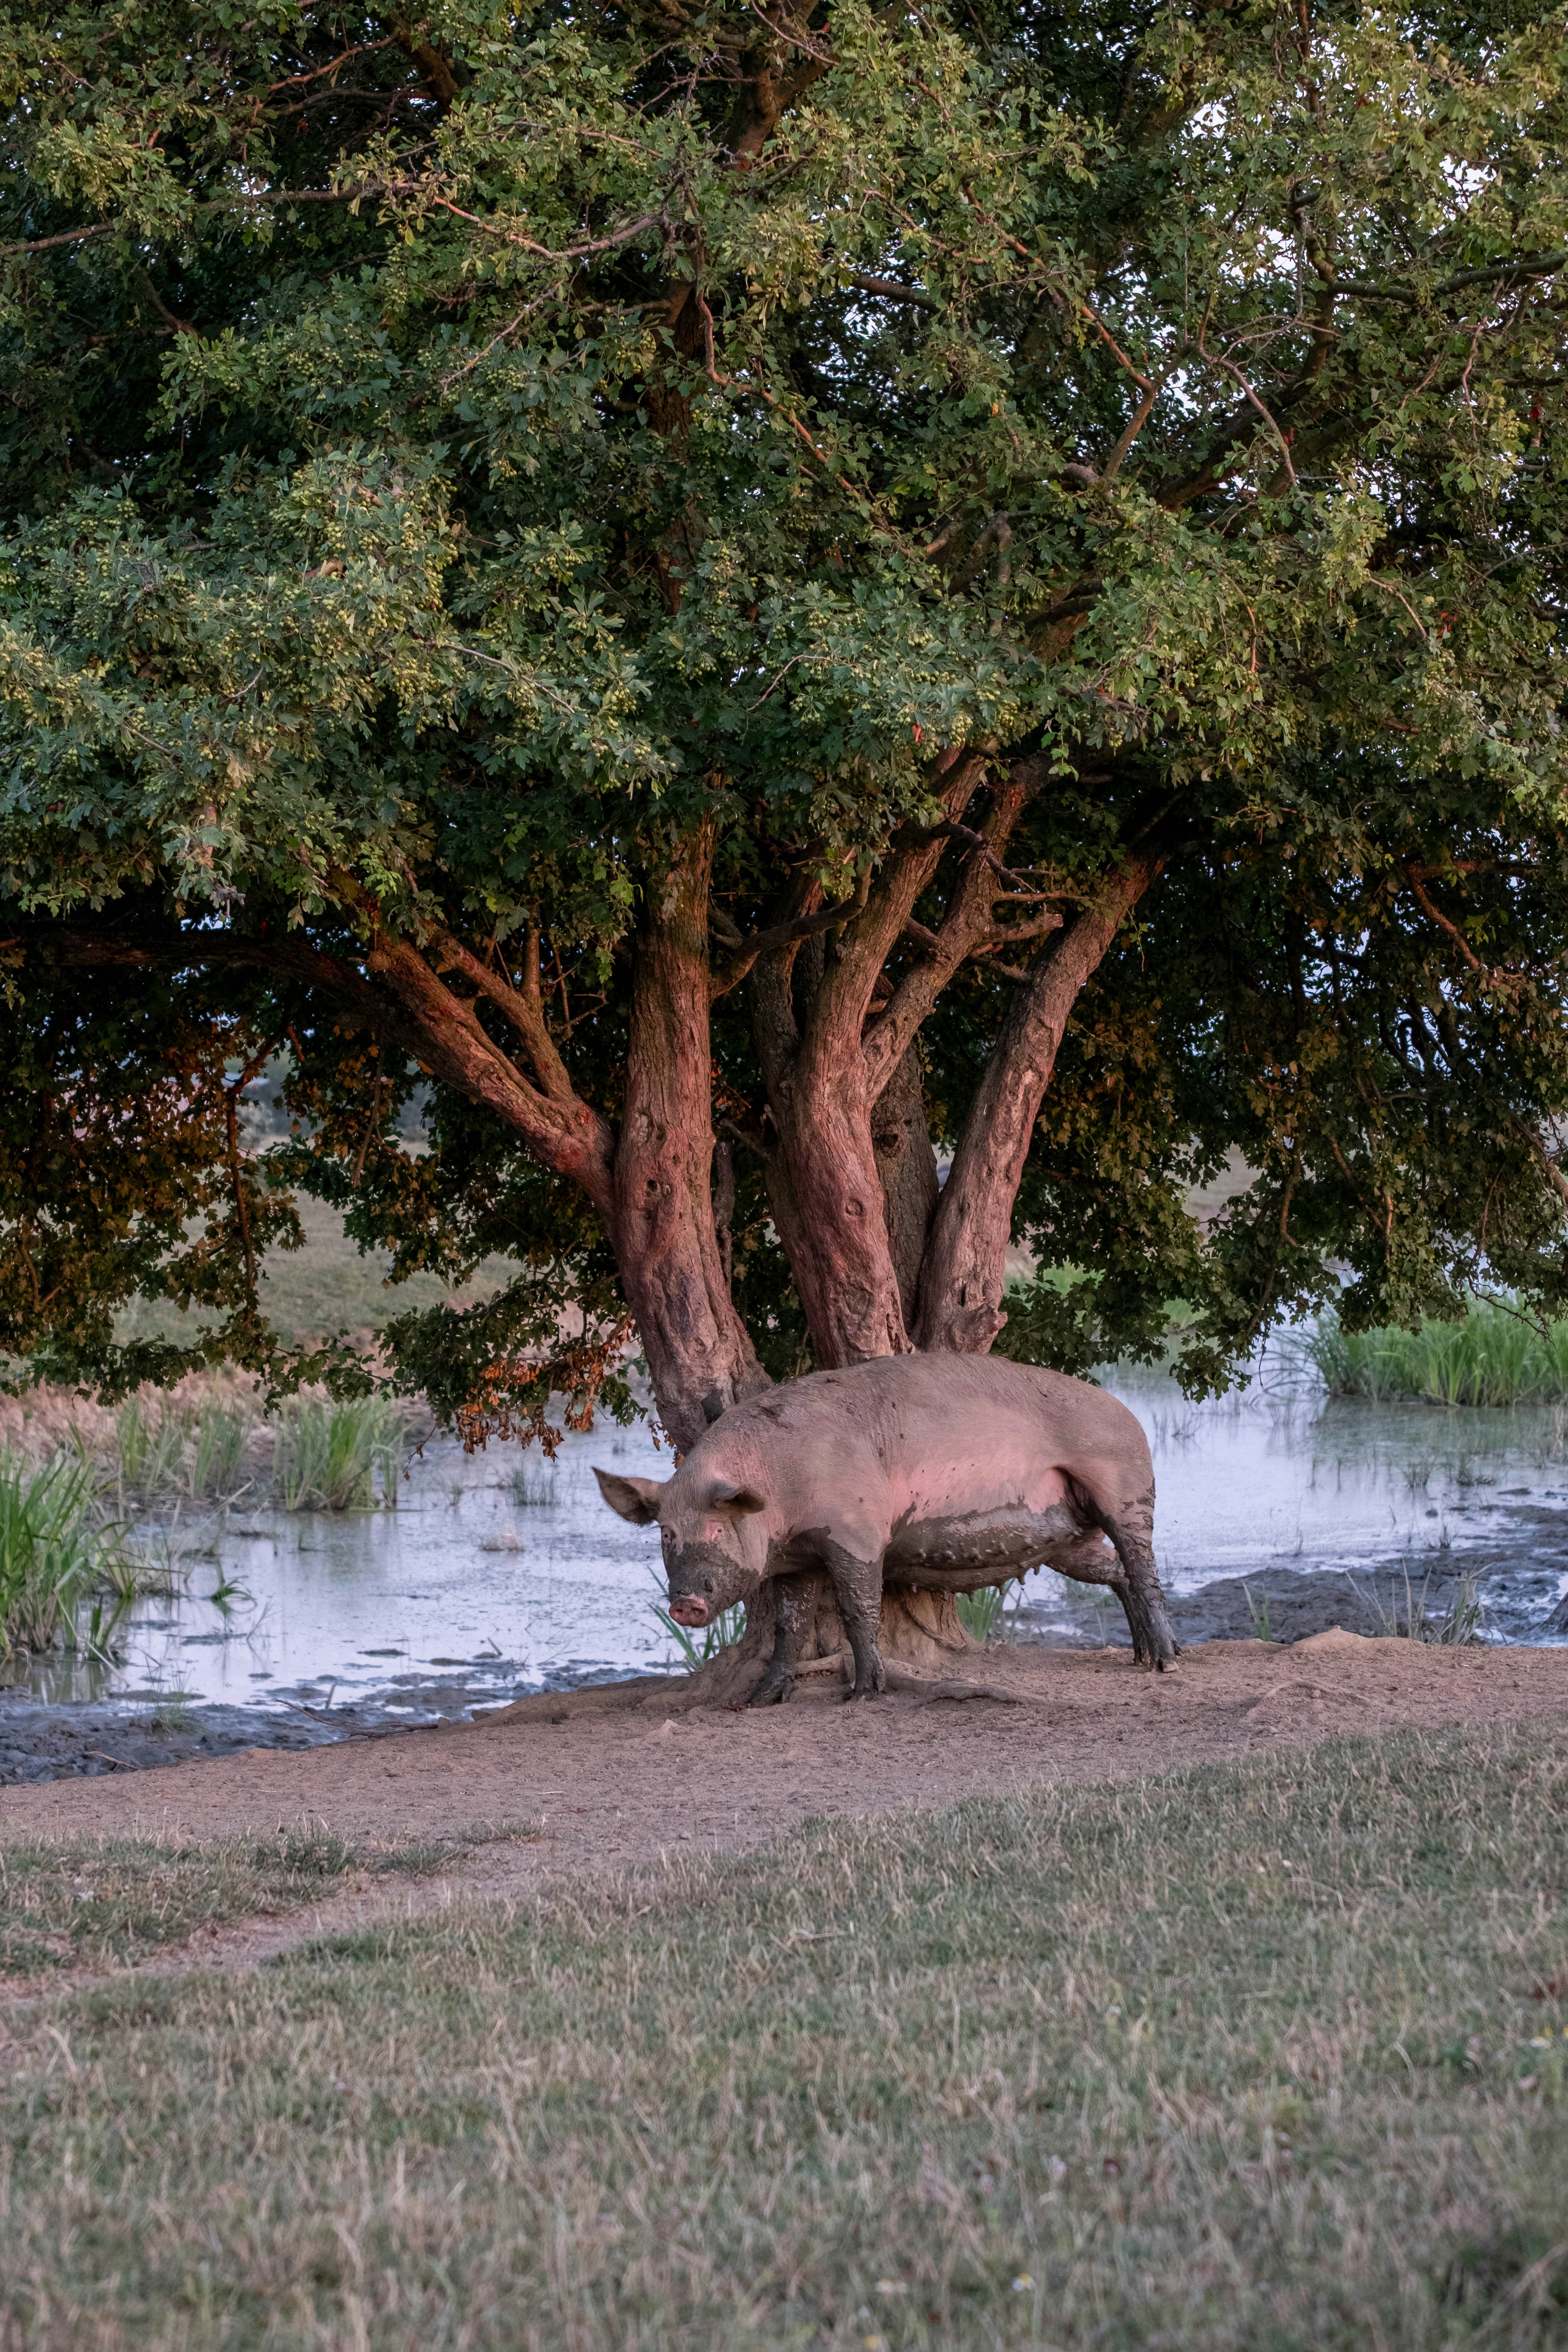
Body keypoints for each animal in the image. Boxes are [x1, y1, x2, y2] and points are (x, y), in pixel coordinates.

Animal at [595, 1354, 1177, 1704]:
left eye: (718, 1530)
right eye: (666, 1533)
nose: (685, 1604)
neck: (783, 1487)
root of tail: (1130, 1413)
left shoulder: (858, 1533)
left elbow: (859, 1608)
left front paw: (863, 1693)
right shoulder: (794, 1561)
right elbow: (789, 1625)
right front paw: (760, 1701)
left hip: (1124, 1488)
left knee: (1143, 1566)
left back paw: (1167, 1664)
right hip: (1070, 1540)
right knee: (1117, 1573)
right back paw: (1142, 1655)